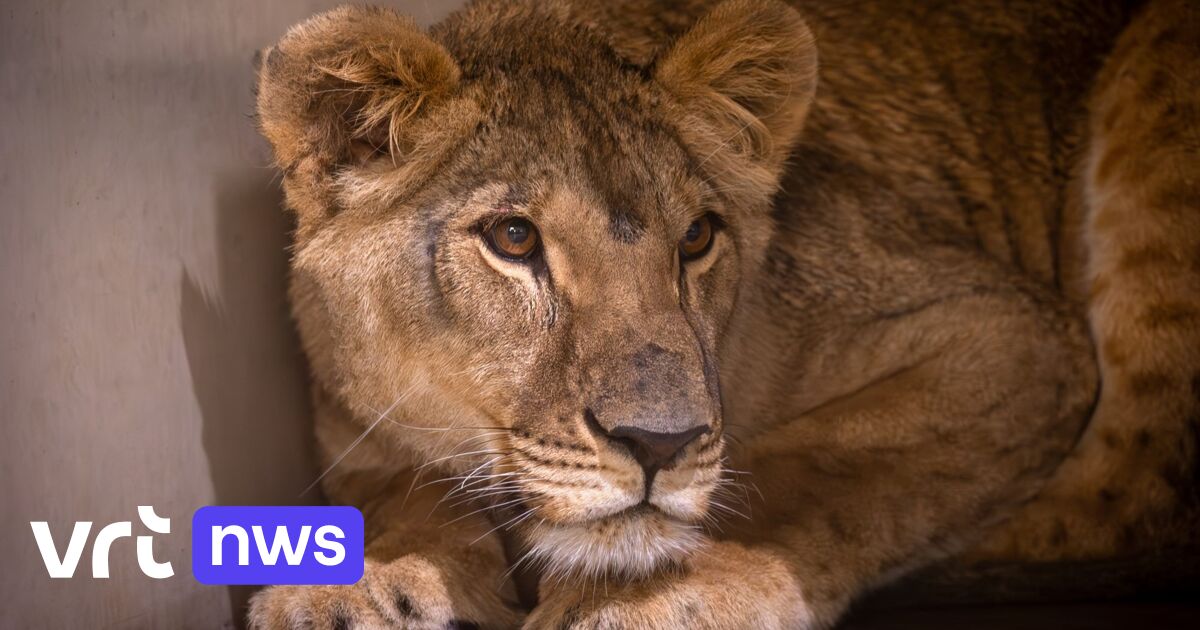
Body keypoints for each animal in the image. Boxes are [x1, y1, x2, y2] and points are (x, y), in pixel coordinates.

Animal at [247, 0, 1199, 627]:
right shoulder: (353, 422)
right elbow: (399, 491)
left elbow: (793, 478)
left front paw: (645, 596)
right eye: (513, 237)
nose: (658, 445)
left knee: (1121, 498)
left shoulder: (1008, 332)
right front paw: (356, 582)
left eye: (698, 236)